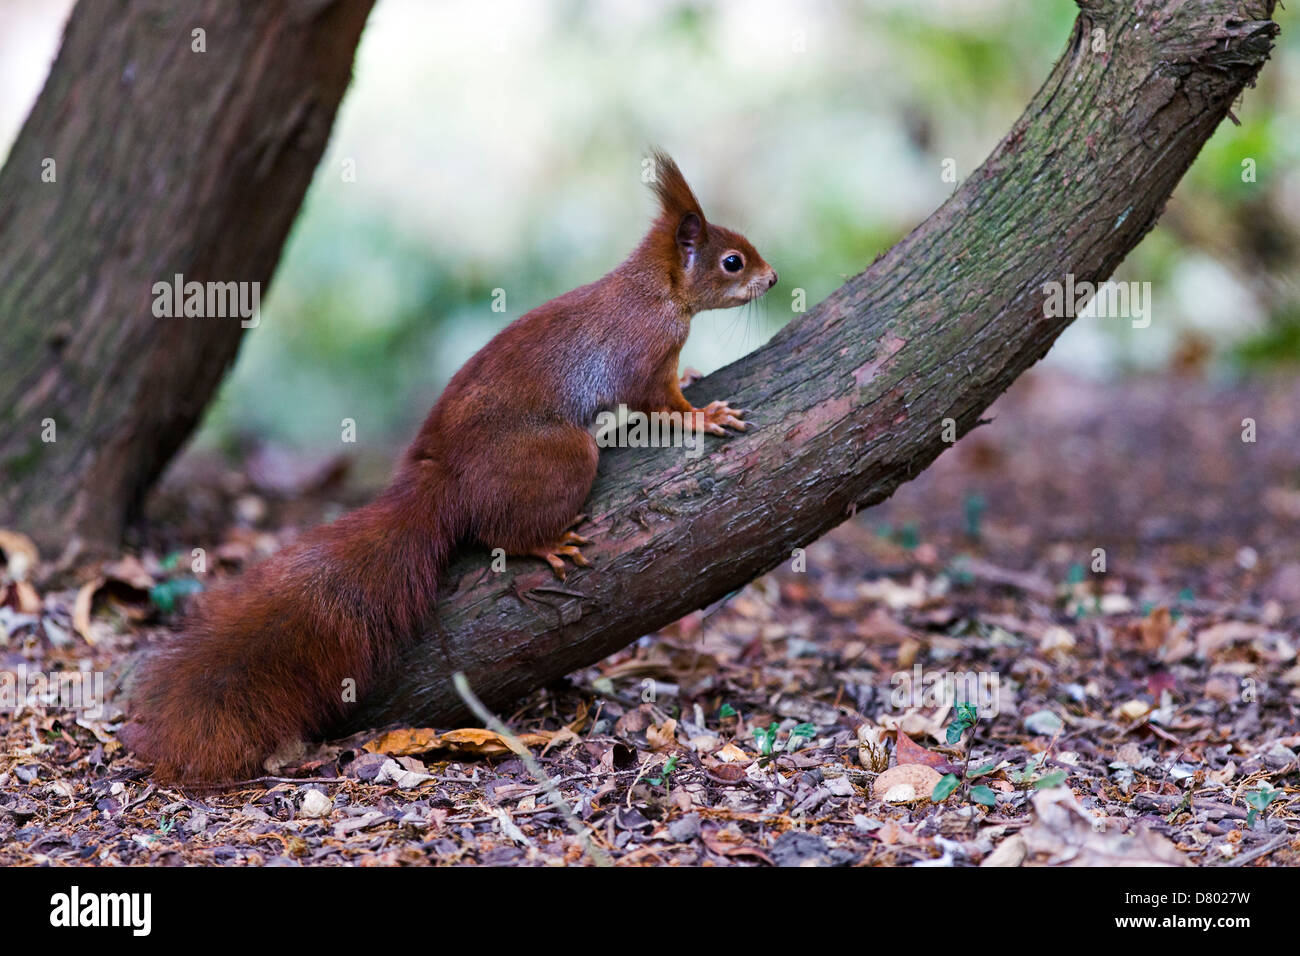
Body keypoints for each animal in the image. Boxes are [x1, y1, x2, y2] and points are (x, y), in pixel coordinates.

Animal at [122, 150, 778, 784]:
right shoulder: (644, 356)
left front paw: (698, 377)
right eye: (732, 261)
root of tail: (445, 482)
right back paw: (545, 543)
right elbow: (659, 403)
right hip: (562, 458)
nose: (773, 279)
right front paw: (705, 414)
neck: (657, 289)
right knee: (498, 530)